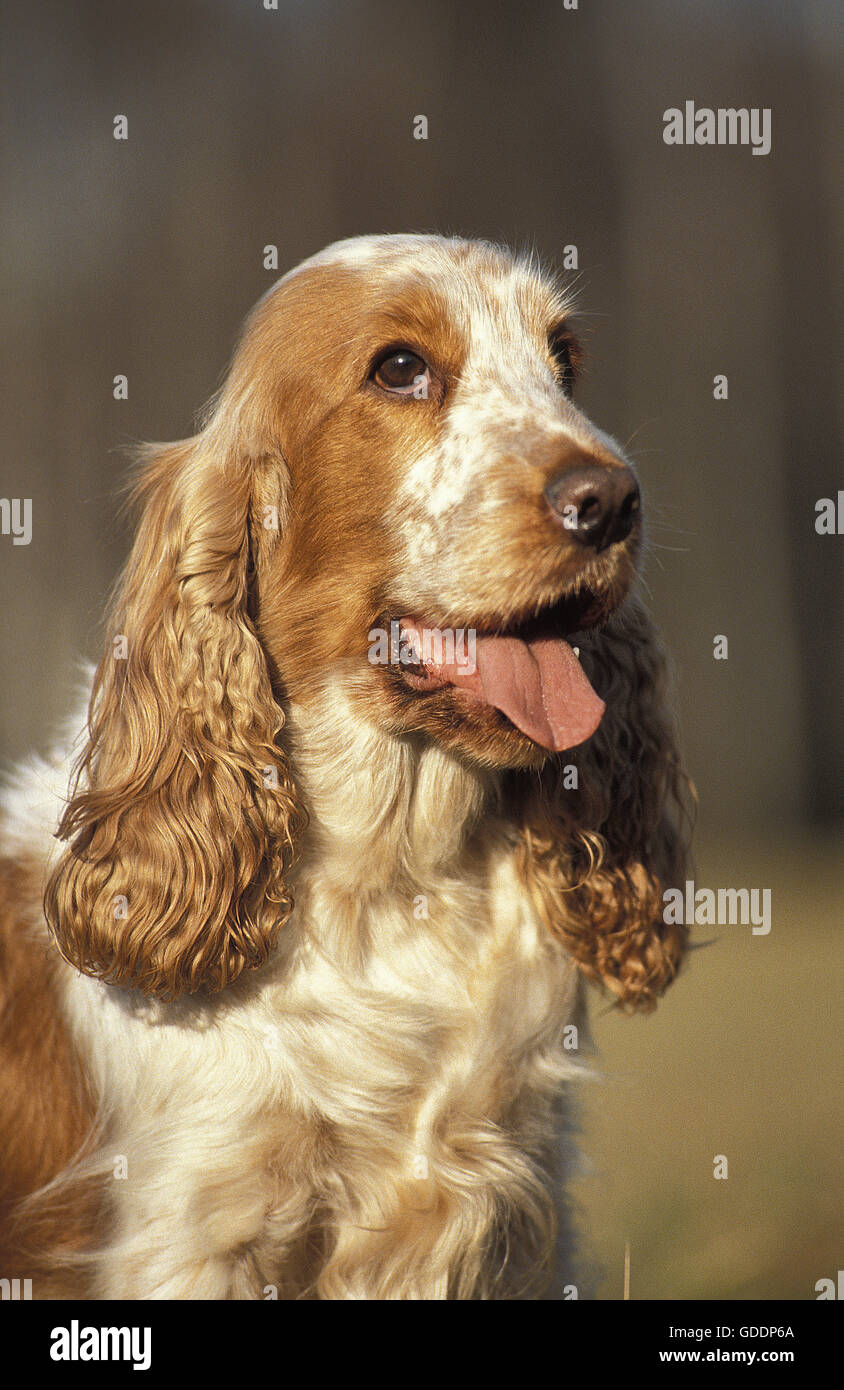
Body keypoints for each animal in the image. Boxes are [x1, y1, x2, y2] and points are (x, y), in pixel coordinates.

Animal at [0, 233, 692, 1295]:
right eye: (399, 368)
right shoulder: (197, 1233)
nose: (611, 500)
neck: (394, 877)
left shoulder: (506, 1217)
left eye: (565, 361)